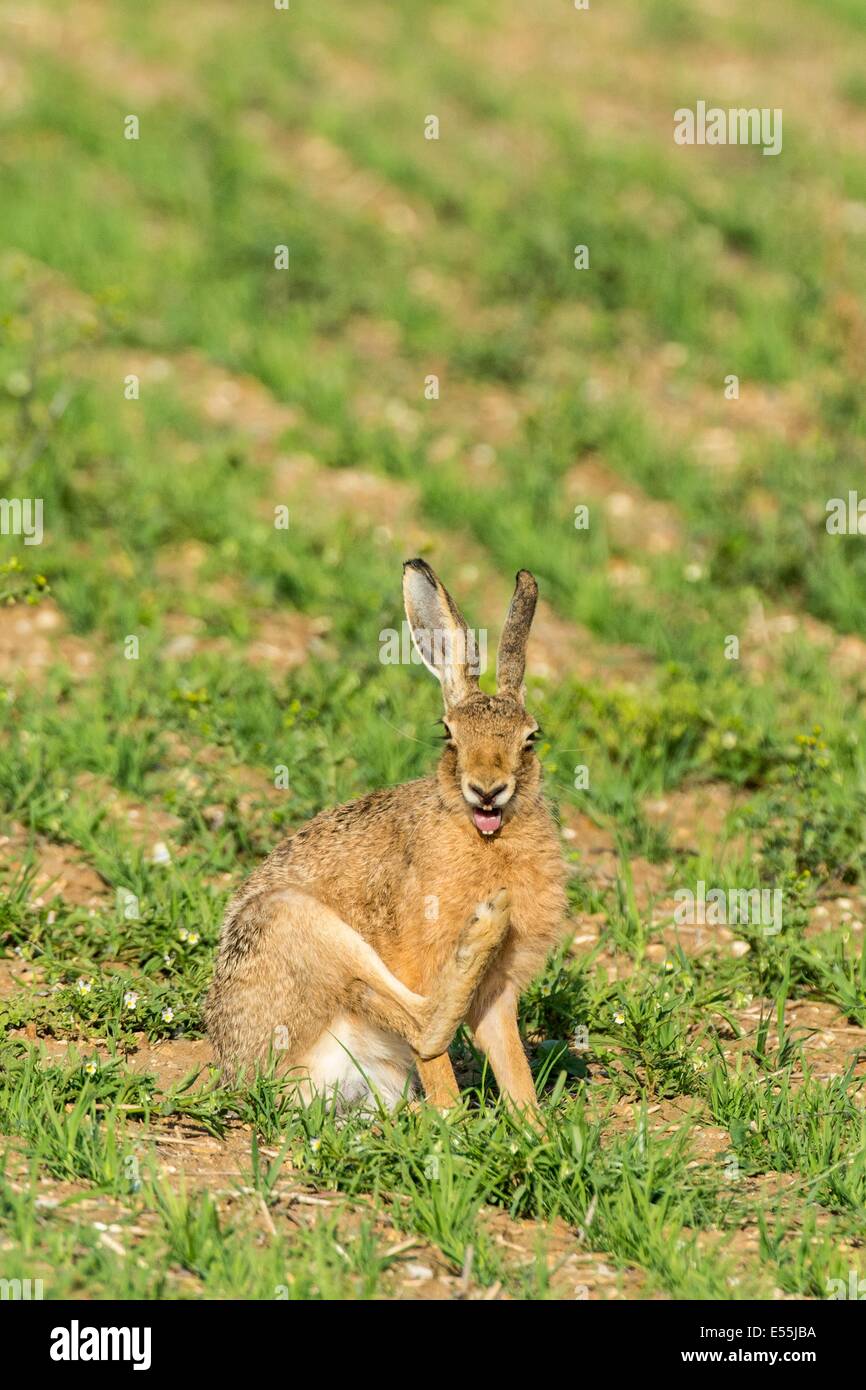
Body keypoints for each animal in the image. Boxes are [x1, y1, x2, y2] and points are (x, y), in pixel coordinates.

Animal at [205, 558, 568, 1112]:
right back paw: (487, 924)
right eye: (448, 735)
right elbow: (435, 1058)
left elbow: (511, 1059)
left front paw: (533, 1125)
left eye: (531, 738)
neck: (486, 836)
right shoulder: (419, 957)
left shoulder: (499, 993)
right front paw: (452, 1117)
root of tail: (253, 1080)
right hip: (294, 924)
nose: (487, 789)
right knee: (422, 1024)